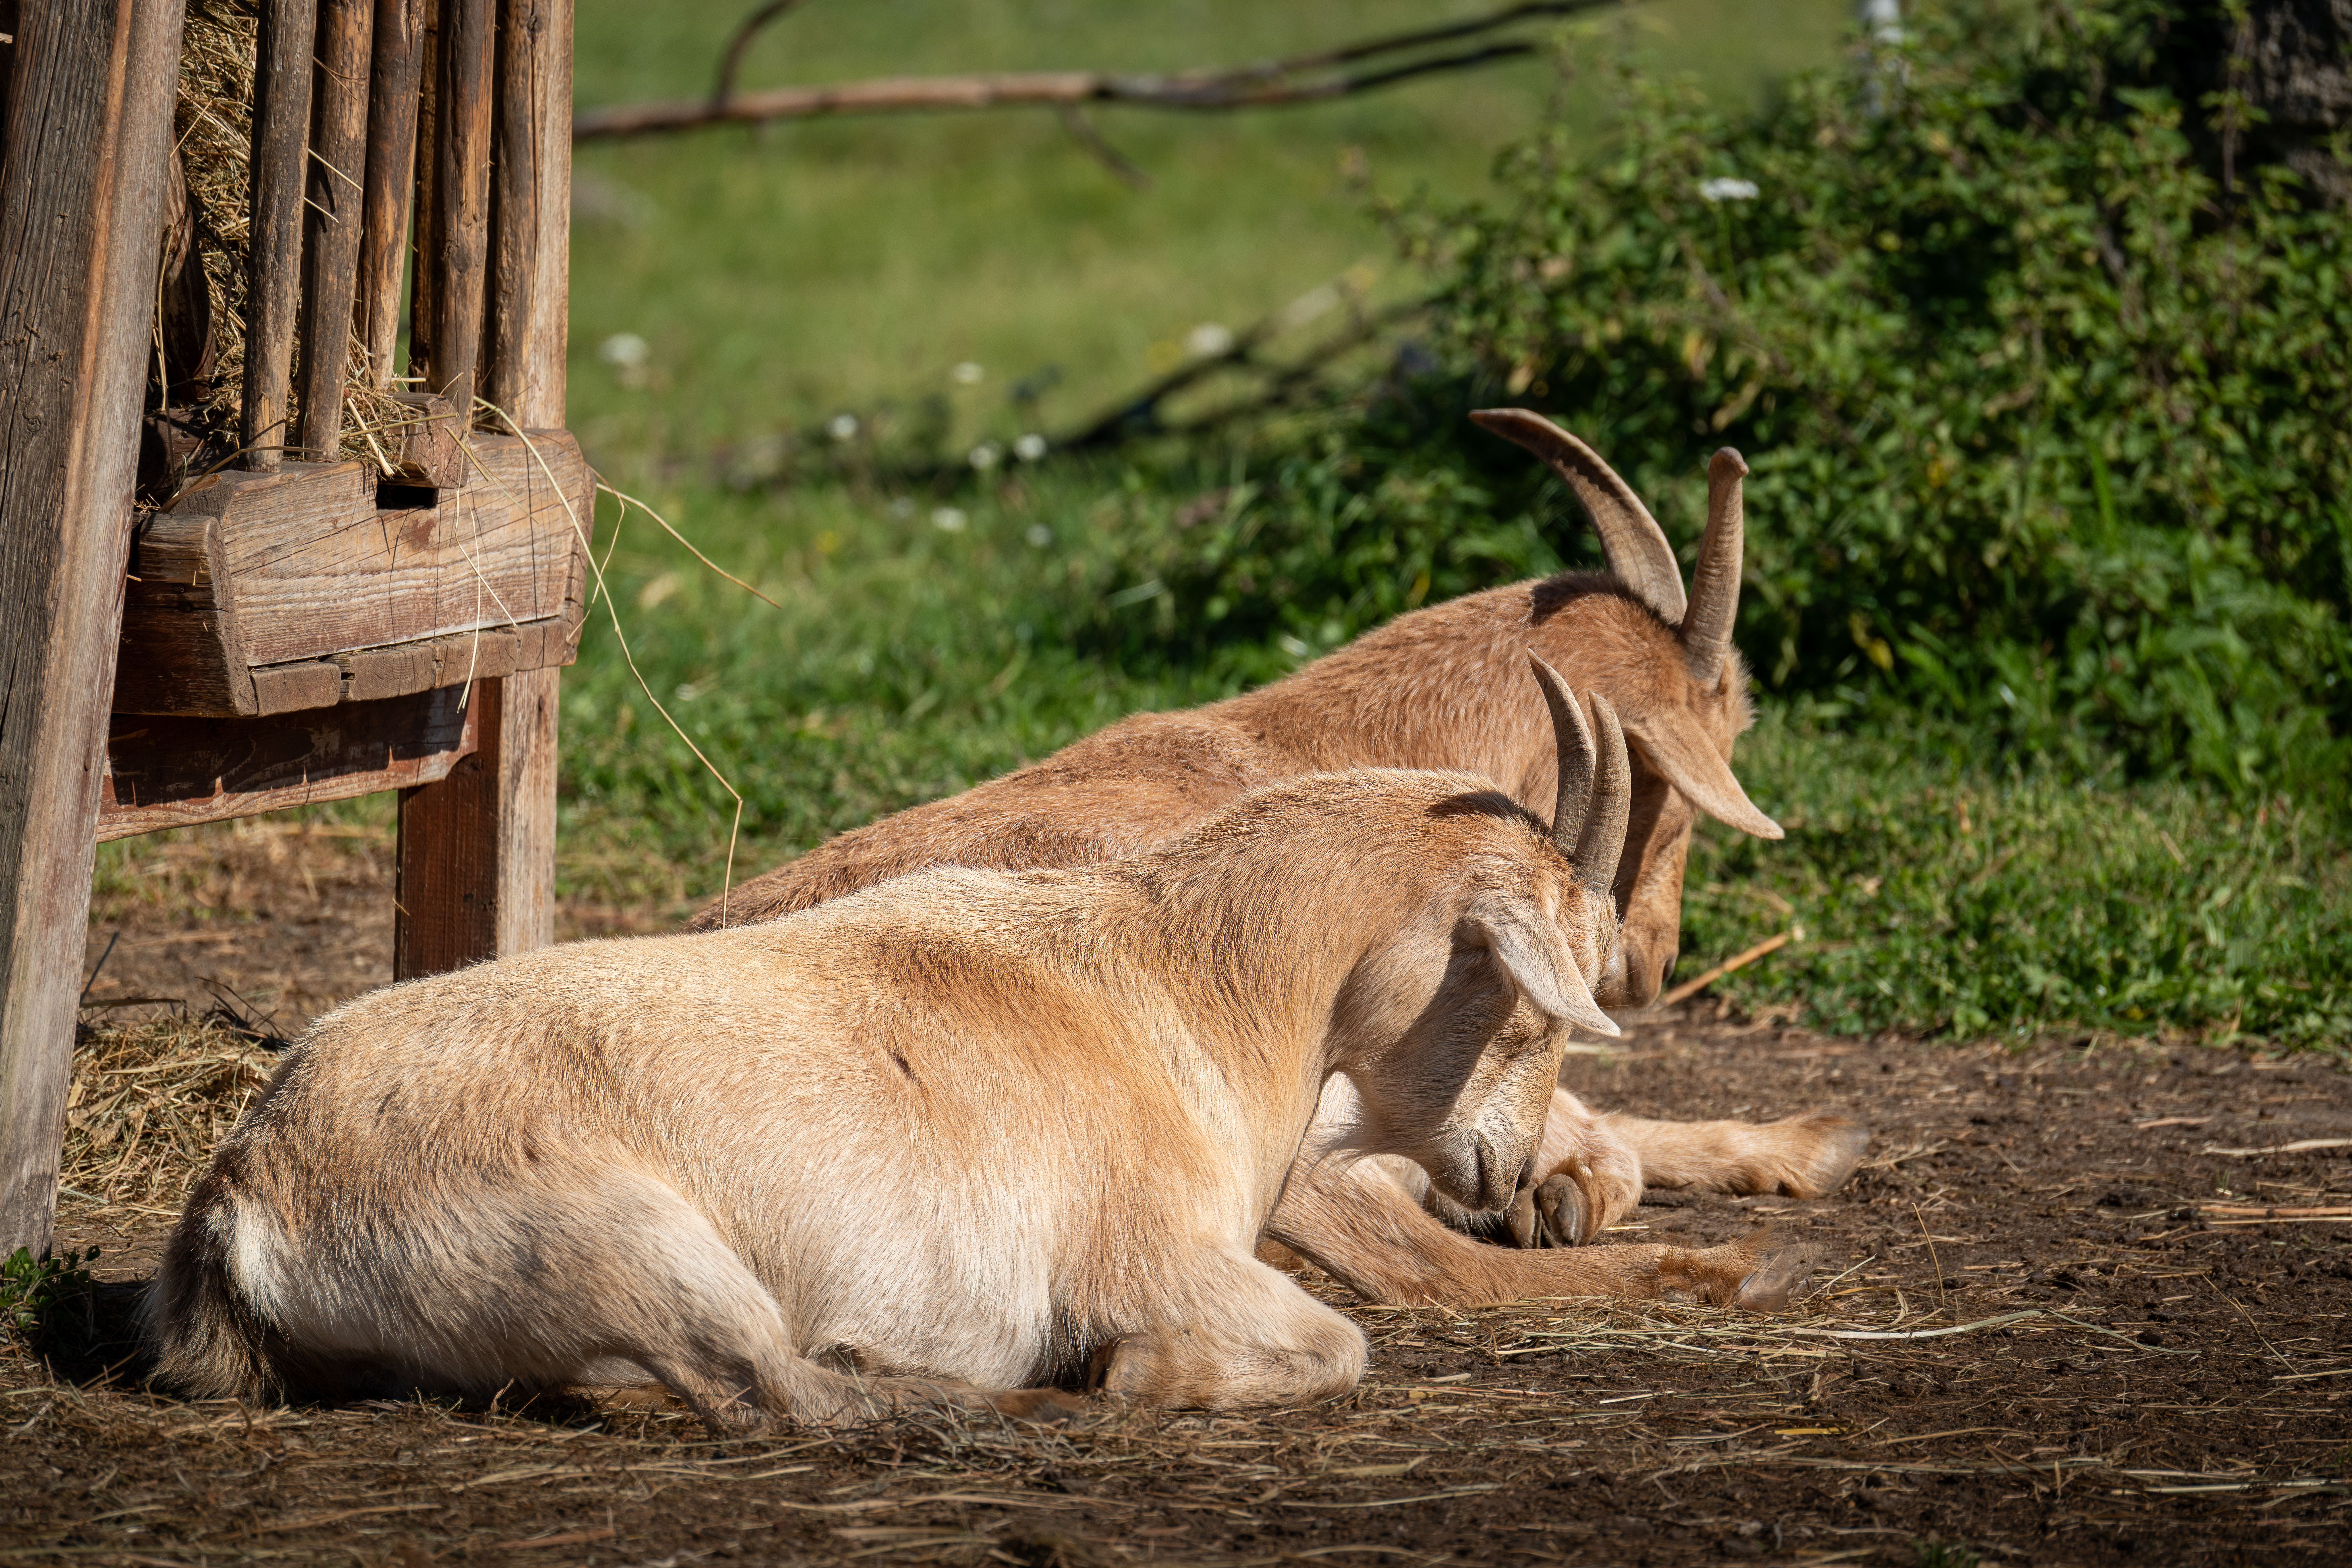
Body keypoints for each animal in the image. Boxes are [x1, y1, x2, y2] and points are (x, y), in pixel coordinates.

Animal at [146, 671, 1806, 1432]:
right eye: (1533, 1003)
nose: (1513, 1167)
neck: (1182, 989)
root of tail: (246, 1185)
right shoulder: (1161, 1254)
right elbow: (1340, 1344)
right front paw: (1135, 1372)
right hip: (625, 1238)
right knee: (773, 1389)